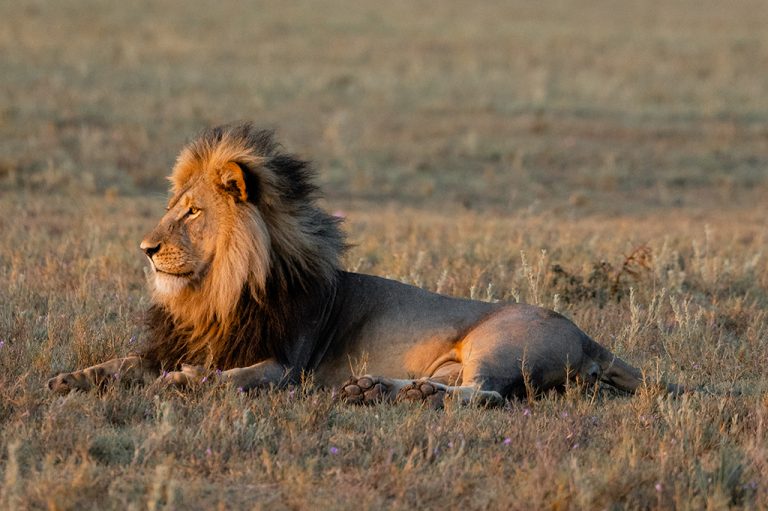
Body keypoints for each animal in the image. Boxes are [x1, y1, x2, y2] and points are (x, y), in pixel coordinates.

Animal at [48, 122, 683, 406]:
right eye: (170, 208)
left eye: (193, 212)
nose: (145, 249)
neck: (216, 292)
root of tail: (591, 338)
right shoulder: (177, 340)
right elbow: (125, 362)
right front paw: (71, 377)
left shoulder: (289, 367)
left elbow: (234, 378)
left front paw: (187, 381)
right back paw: (374, 387)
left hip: (501, 344)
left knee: (488, 396)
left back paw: (404, 395)